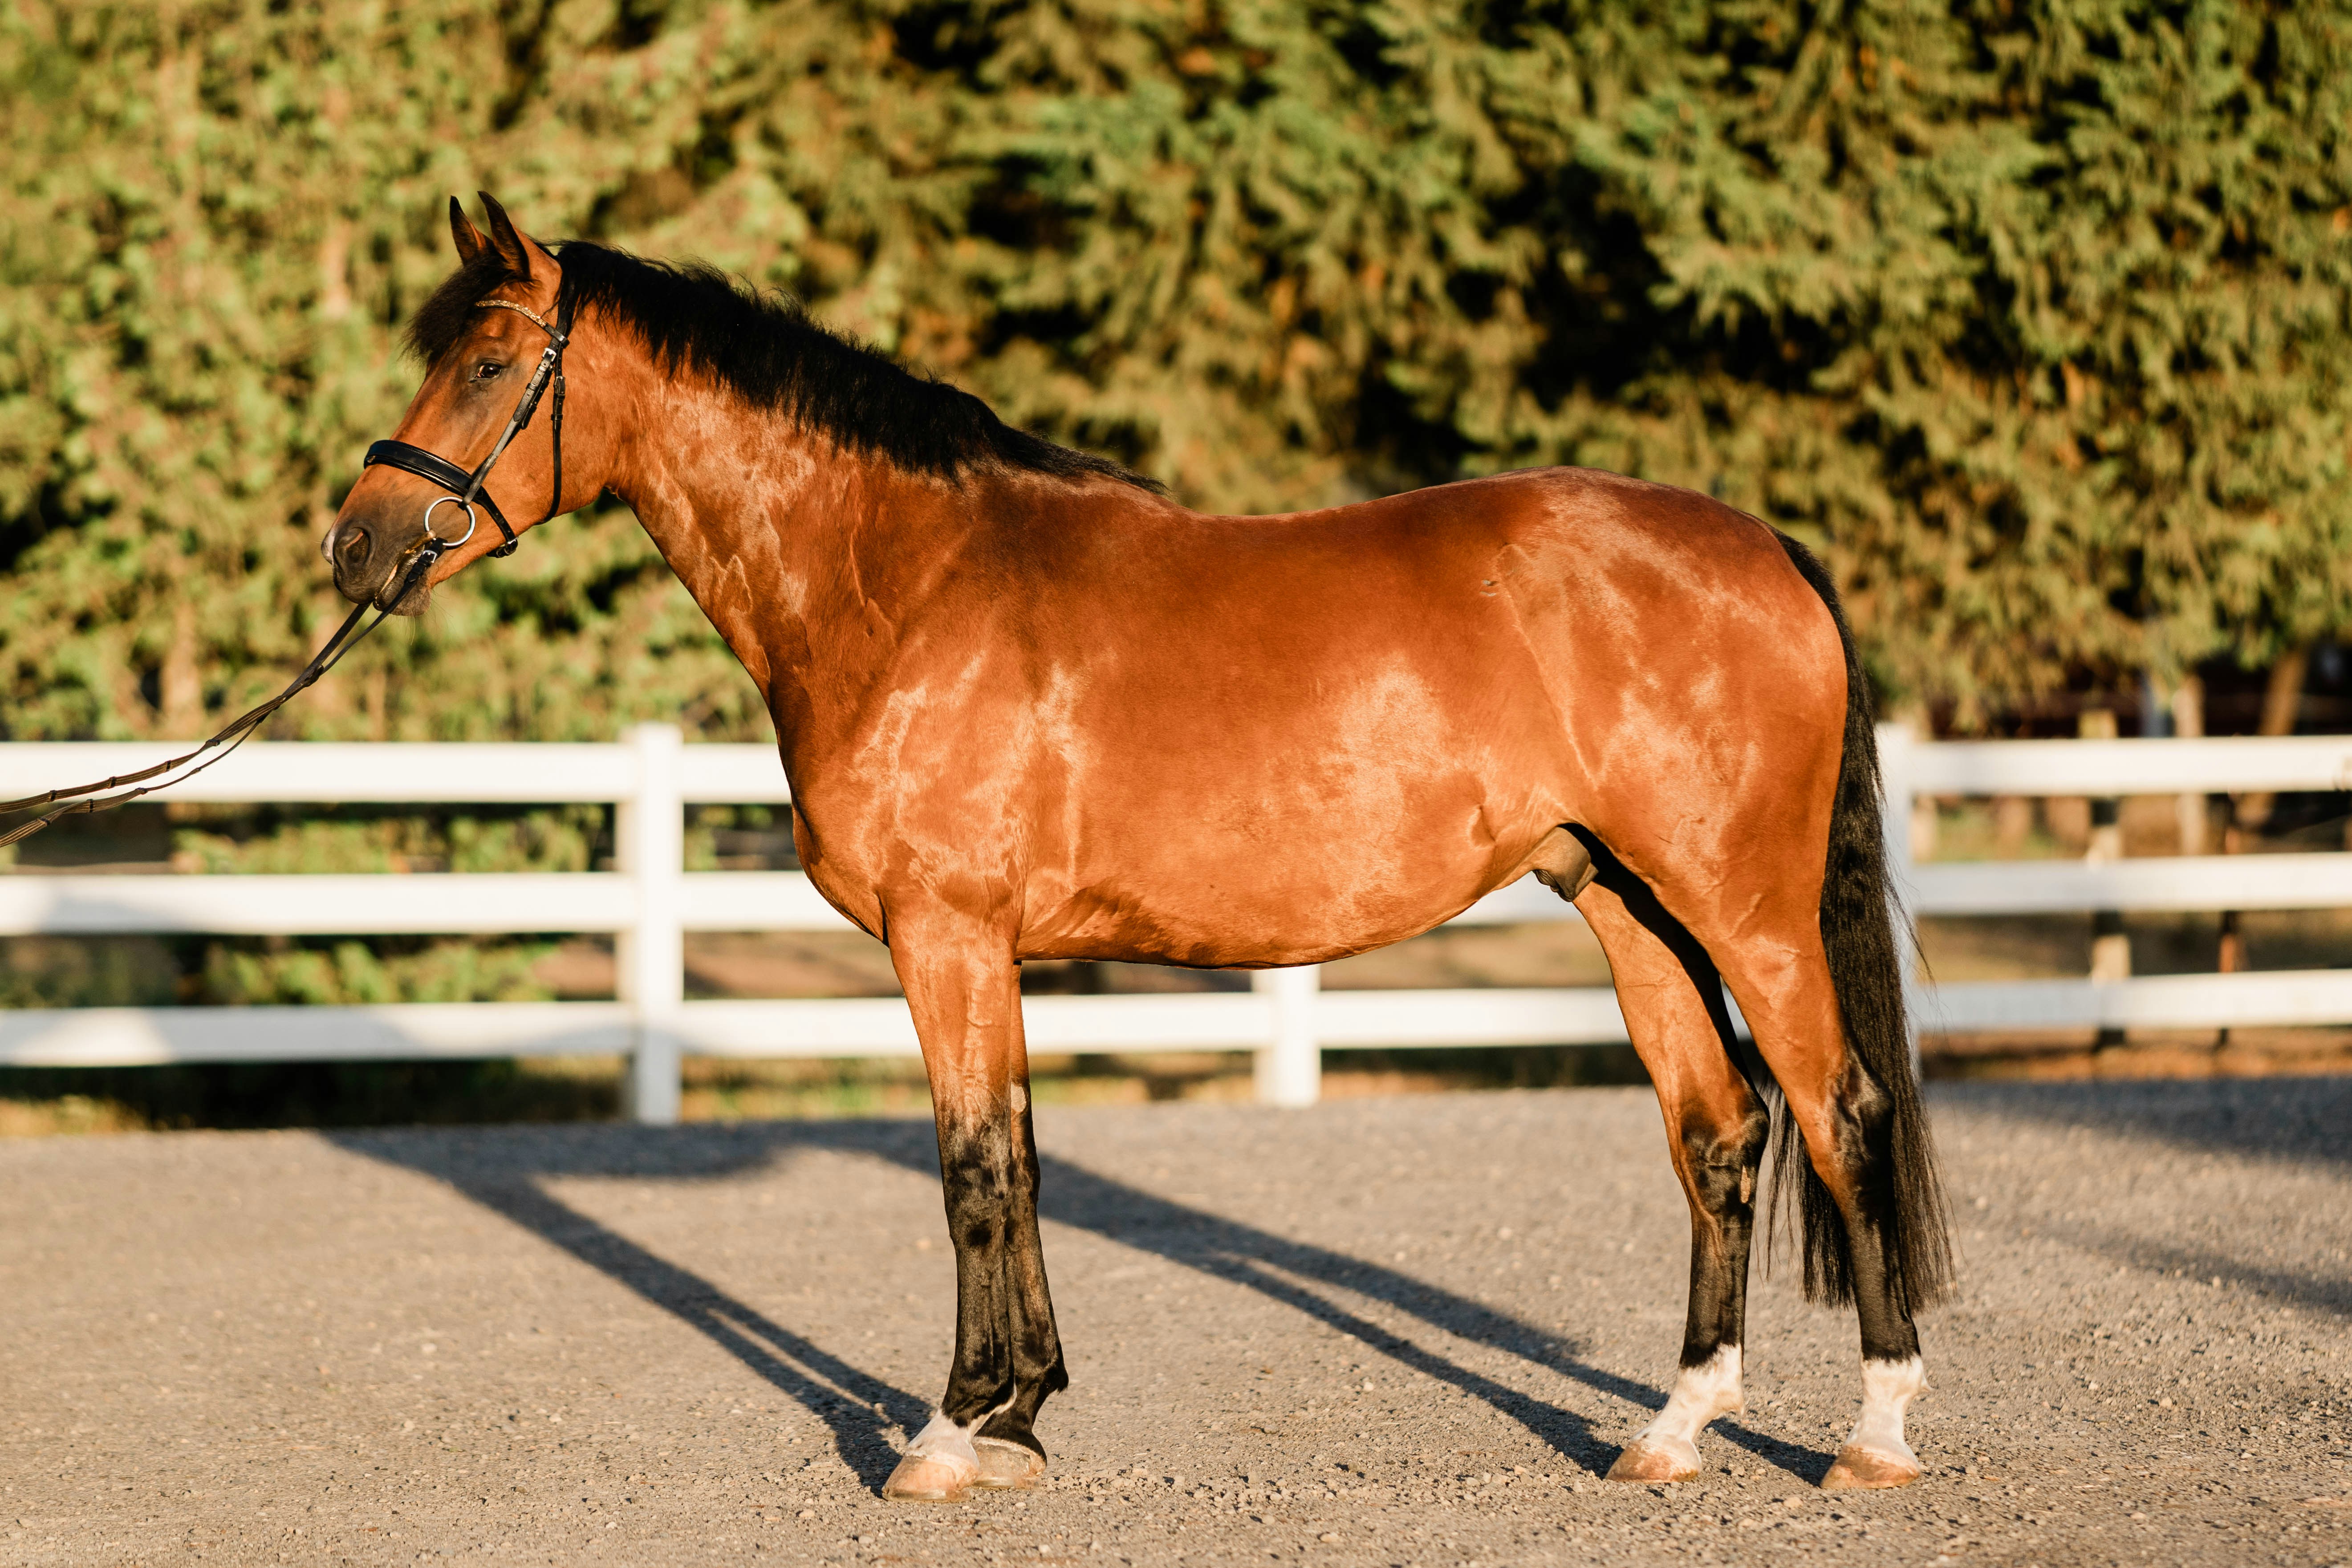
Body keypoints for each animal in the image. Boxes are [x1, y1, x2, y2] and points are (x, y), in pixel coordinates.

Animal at [326, 194, 1952, 1504]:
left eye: (488, 365)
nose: (356, 547)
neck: (906, 585)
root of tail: (1762, 547)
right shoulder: (983, 946)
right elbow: (1023, 1158)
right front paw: (1023, 1415)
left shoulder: (946, 933)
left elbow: (974, 1169)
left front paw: (950, 1432)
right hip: (1629, 904)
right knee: (1716, 1132)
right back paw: (1674, 1428)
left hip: (1742, 910)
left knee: (1842, 1113)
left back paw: (1875, 1432)